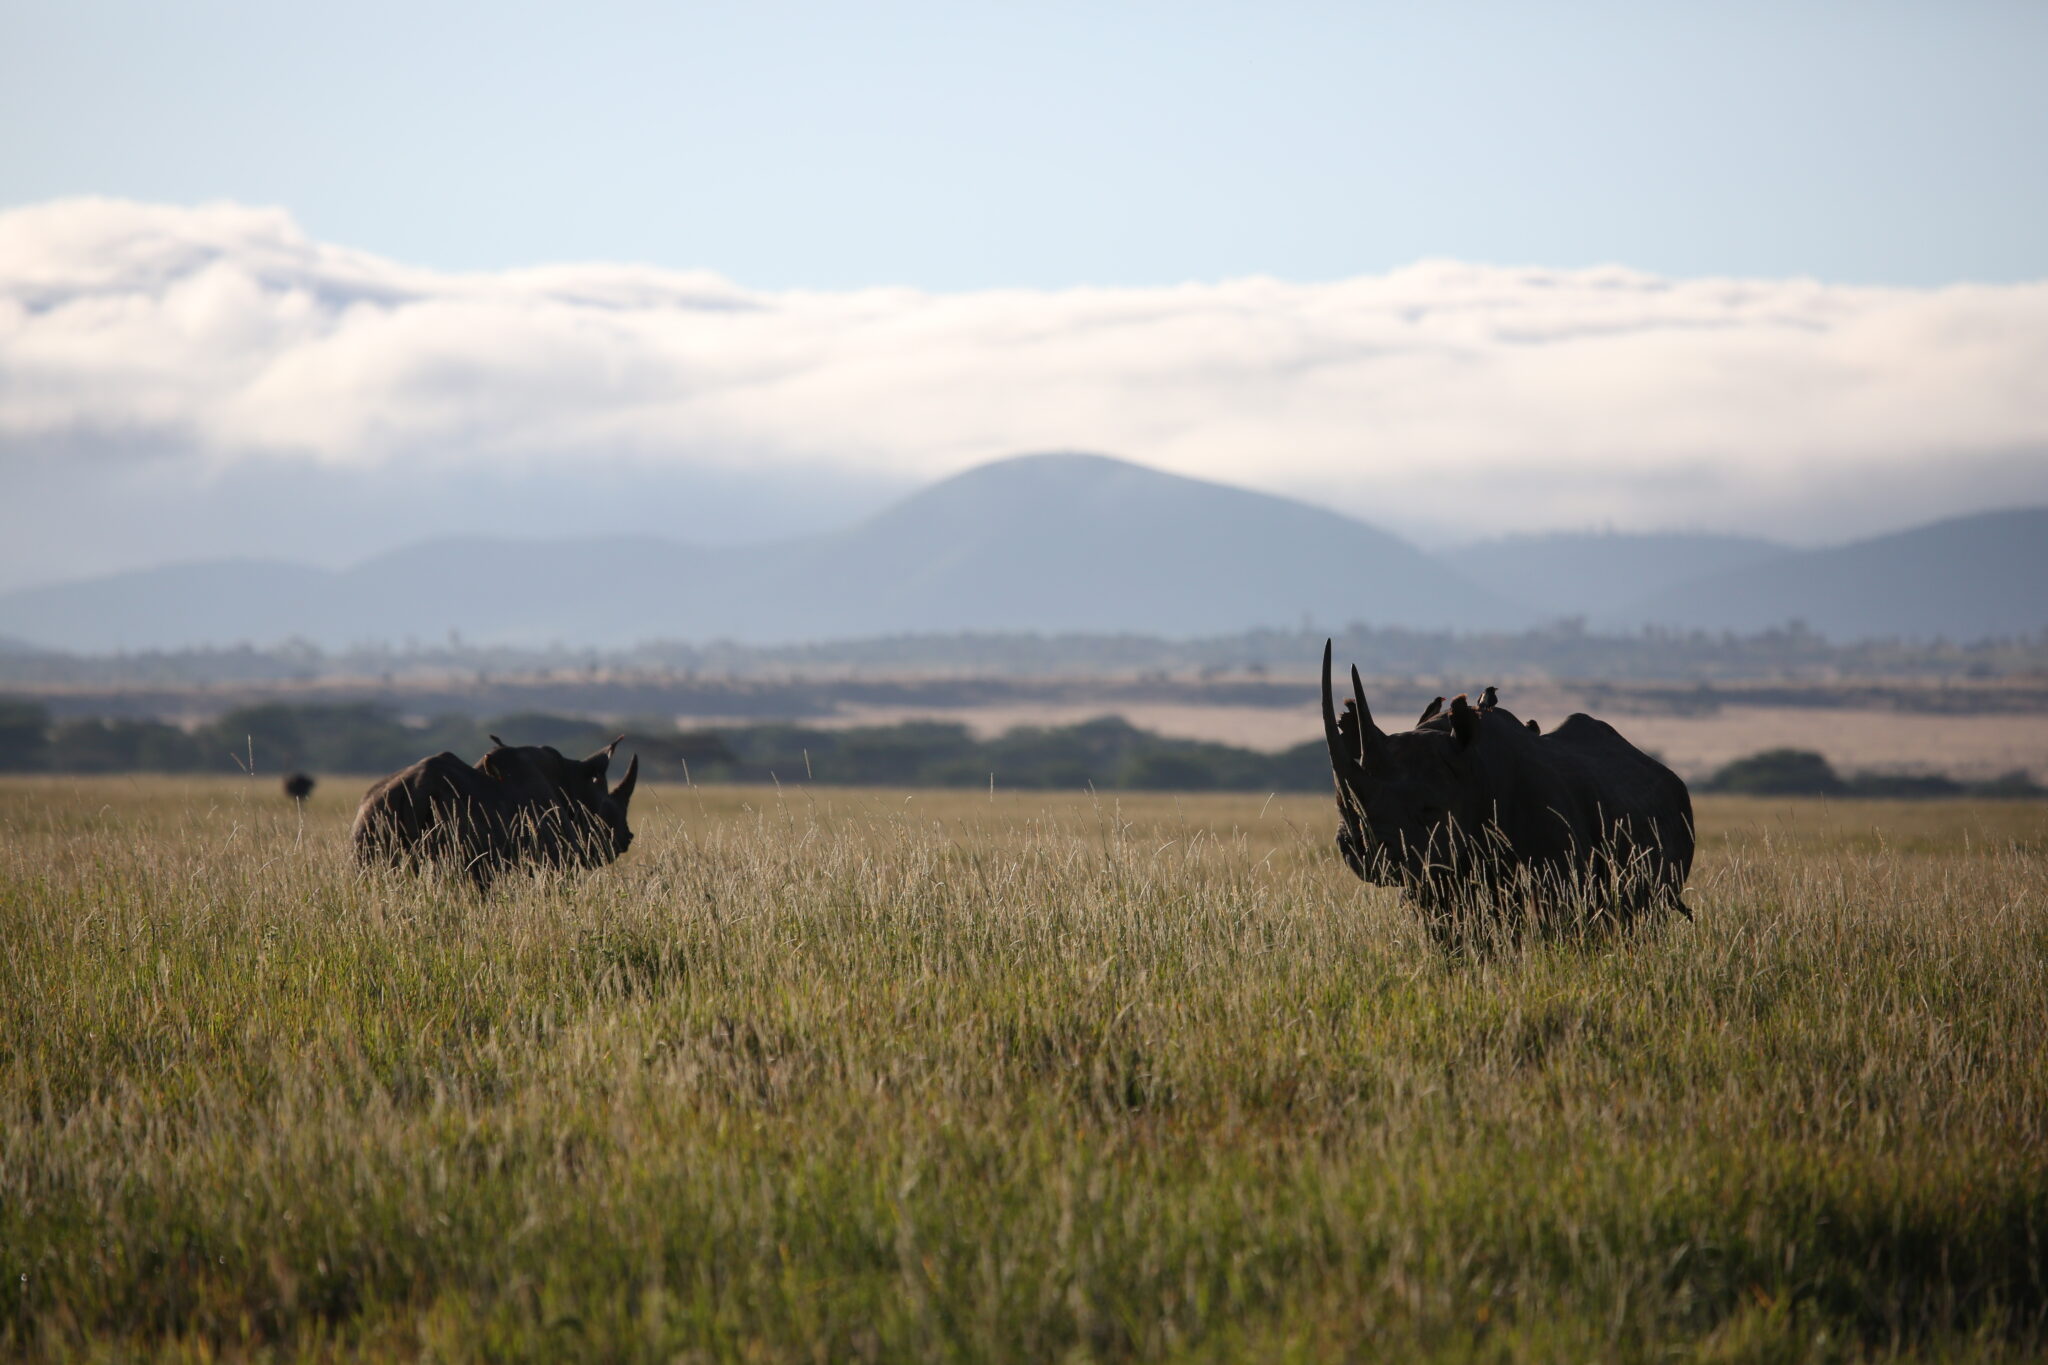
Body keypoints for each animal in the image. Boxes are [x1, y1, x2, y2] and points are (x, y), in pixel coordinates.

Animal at [352, 735, 638, 888]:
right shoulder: (555, 863)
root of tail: (417, 789)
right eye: (608, 810)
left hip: (371, 815)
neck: (571, 782)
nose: (626, 837)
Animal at [1320, 642, 1692, 939]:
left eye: (1430, 810)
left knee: (1647, 914)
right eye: (1341, 805)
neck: (1472, 768)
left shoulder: (1558, 877)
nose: (1364, 850)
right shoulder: (1433, 874)